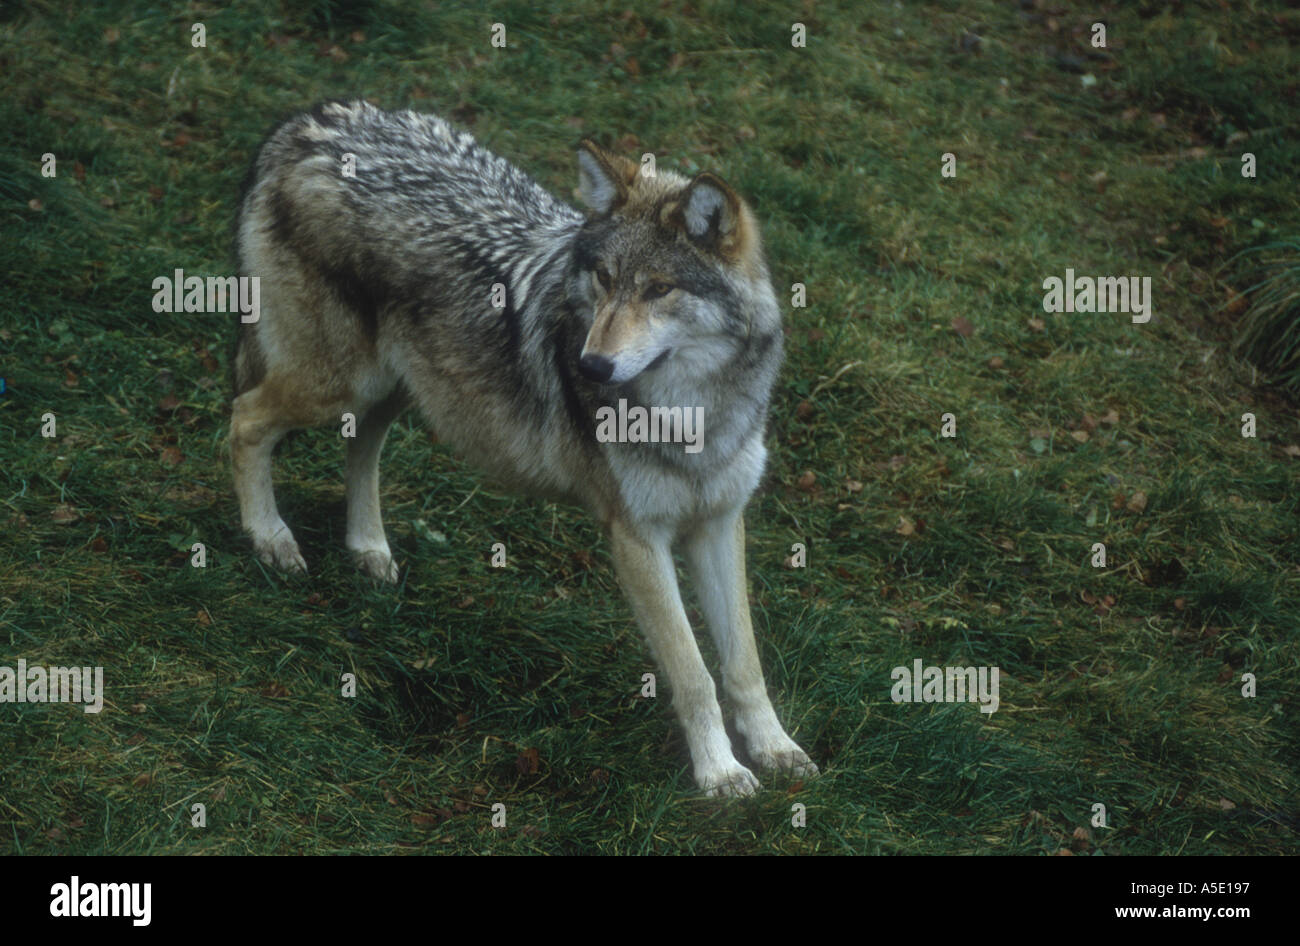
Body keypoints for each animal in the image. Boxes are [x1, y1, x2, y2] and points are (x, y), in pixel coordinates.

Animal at [231, 100, 817, 795]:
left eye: (659, 290)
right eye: (605, 278)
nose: (590, 366)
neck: (694, 417)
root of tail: (305, 122)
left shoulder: (720, 523)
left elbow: (744, 663)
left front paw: (776, 749)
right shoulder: (637, 537)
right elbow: (693, 670)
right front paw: (721, 773)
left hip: (399, 390)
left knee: (360, 447)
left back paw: (370, 550)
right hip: (339, 385)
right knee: (243, 419)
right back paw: (271, 539)